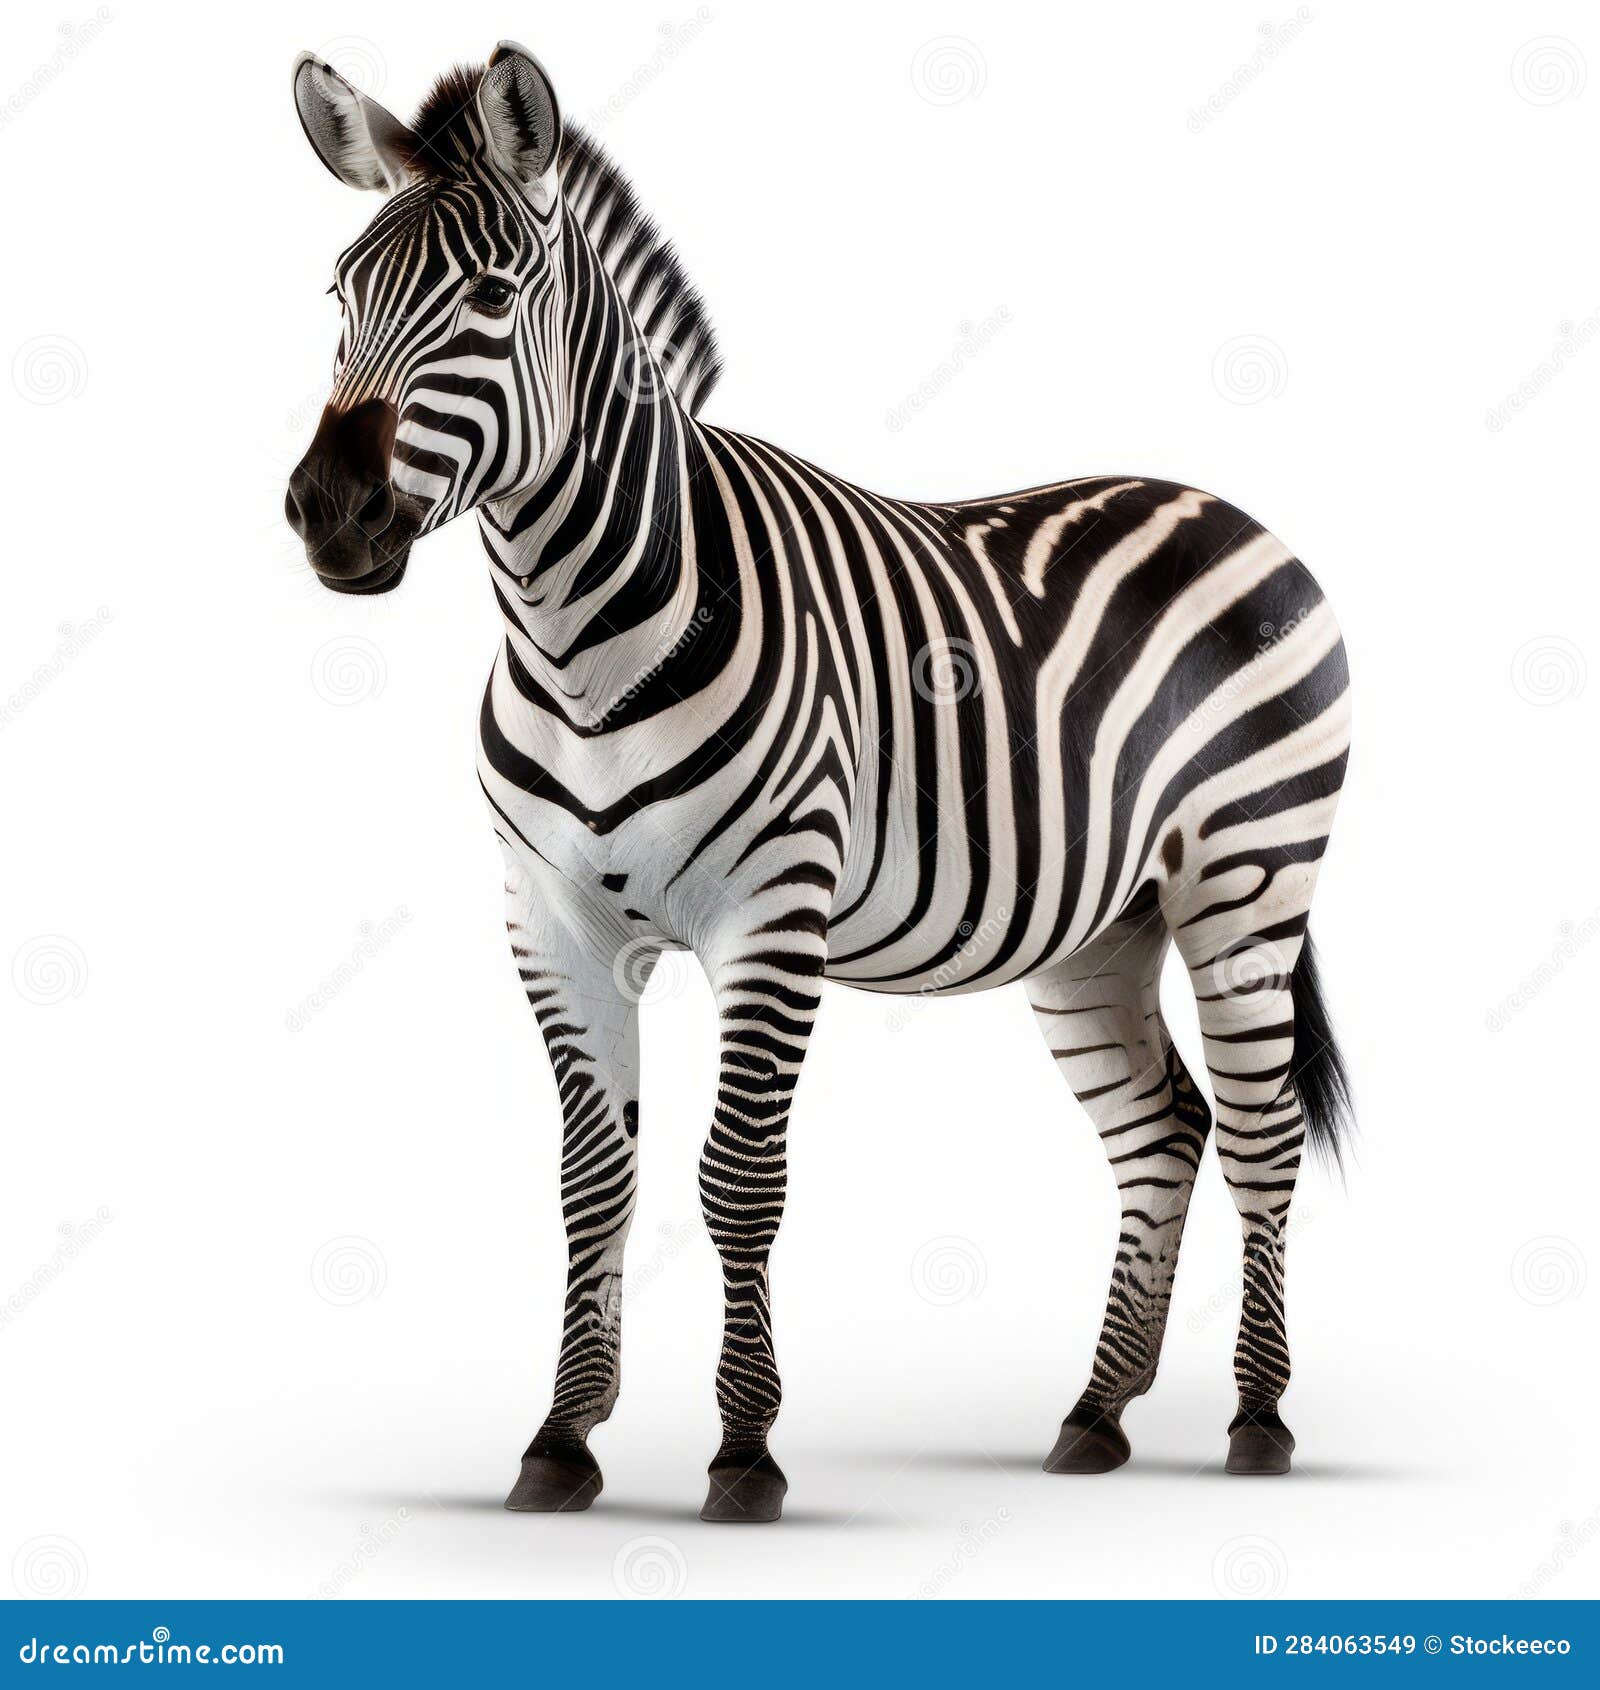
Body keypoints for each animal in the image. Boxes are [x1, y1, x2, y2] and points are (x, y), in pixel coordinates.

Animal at [285, 43, 1354, 1523]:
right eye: (339, 295)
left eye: (491, 299)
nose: (326, 512)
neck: (575, 637)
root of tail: (1225, 507)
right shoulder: (551, 924)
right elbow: (593, 1180)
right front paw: (562, 1436)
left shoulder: (770, 915)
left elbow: (737, 1180)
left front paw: (743, 1450)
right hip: (1102, 927)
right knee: (1163, 1131)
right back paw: (1096, 1412)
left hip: (1248, 882)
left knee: (1258, 1133)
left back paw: (1257, 1420)